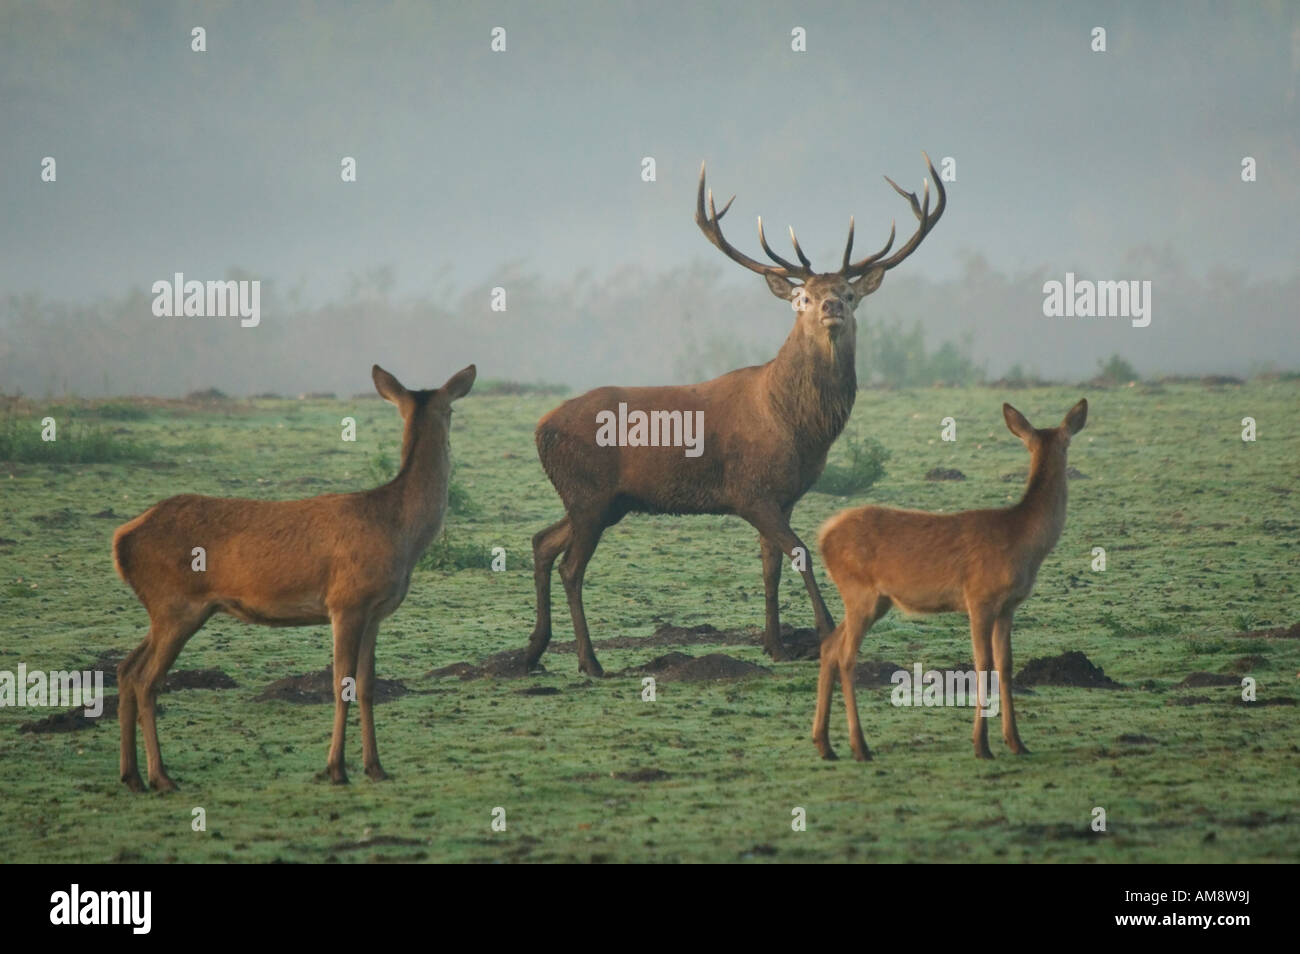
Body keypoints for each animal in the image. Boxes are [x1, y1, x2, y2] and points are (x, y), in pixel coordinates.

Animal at [111, 363, 476, 792]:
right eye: (451, 409)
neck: (401, 532)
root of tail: (122, 540)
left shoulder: (375, 613)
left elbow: (368, 685)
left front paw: (375, 766)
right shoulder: (346, 602)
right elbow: (341, 683)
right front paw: (336, 768)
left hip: (167, 610)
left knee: (125, 668)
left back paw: (131, 775)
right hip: (176, 604)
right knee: (146, 679)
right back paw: (161, 775)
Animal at [524, 155, 946, 676]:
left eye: (849, 294)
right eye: (804, 297)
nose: (830, 306)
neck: (796, 426)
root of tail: (540, 429)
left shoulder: (783, 496)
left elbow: (771, 565)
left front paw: (776, 645)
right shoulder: (750, 491)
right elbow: (801, 553)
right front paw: (824, 633)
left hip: (602, 501)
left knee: (542, 543)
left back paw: (534, 650)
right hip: (590, 494)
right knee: (570, 566)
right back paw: (589, 661)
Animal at [813, 399, 1088, 762]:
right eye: (1066, 442)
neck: (1021, 541)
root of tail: (823, 537)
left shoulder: (1008, 607)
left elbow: (1005, 664)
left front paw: (1017, 742)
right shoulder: (979, 597)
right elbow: (983, 663)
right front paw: (981, 745)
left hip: (874, 600)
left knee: (830, 645)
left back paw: (824, 744)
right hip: (860, 591)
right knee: (846, 656)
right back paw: (860, 747)